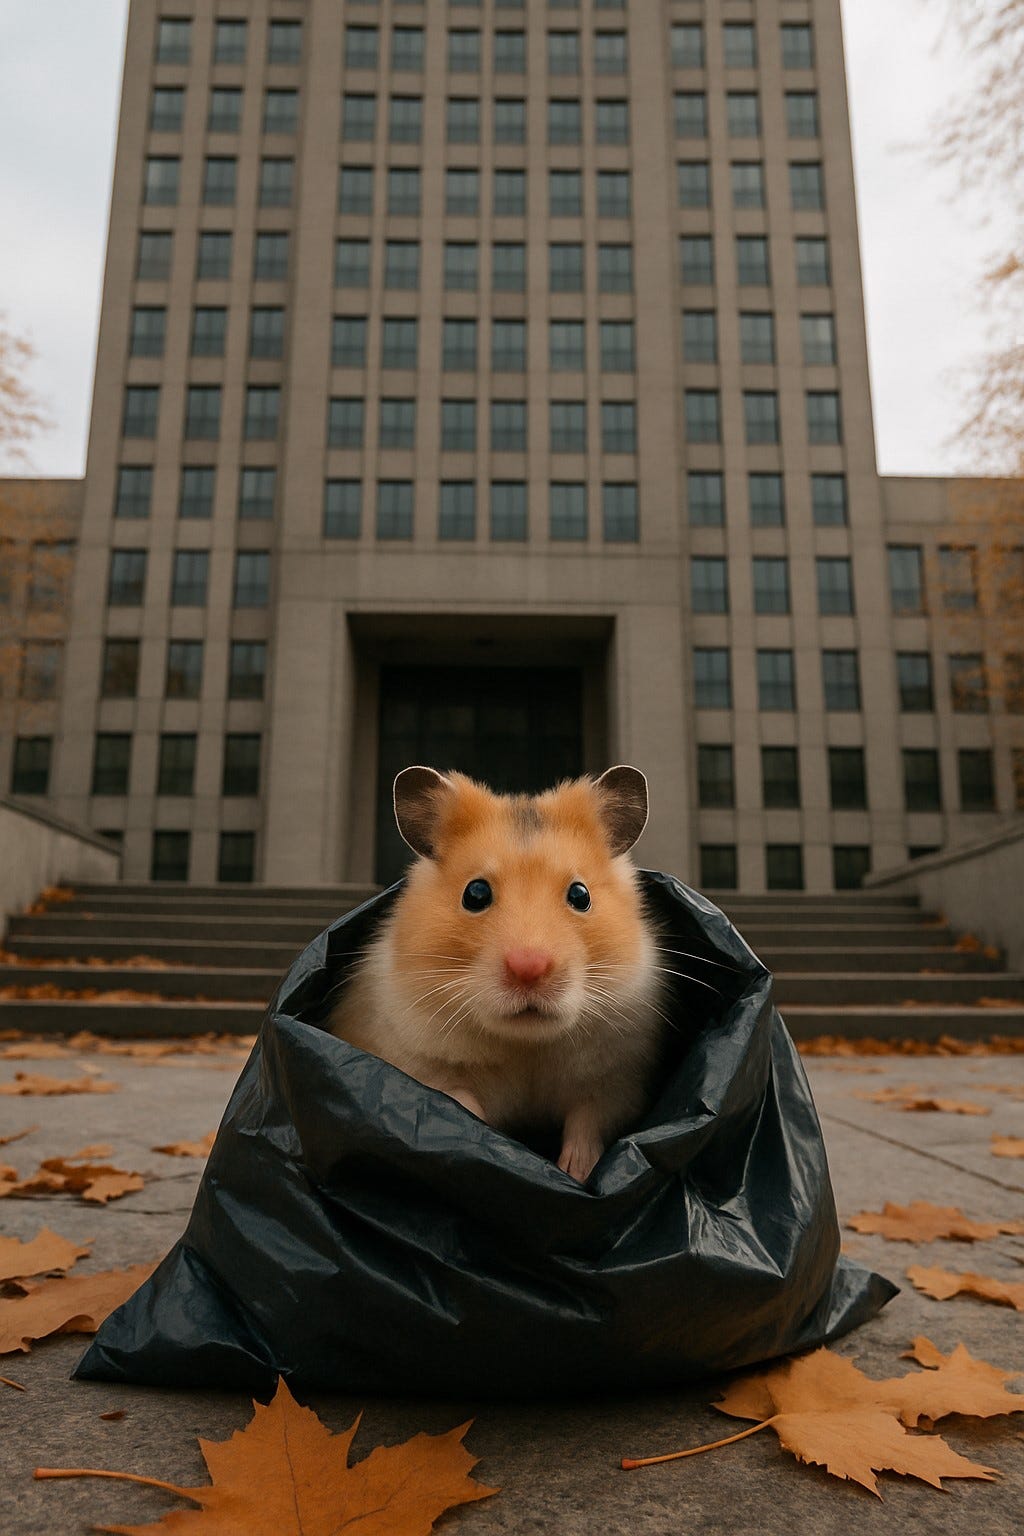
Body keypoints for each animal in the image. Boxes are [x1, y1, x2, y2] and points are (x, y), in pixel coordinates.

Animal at [328, 764, 667, 1183]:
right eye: (475, 893)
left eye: (580, 895)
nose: (529, 967)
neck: (526, 1044)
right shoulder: (413, 1061)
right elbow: (460, 1101)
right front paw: (491, 1149)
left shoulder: (617, 1078)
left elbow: (588, 1119)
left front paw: (576, 1173)